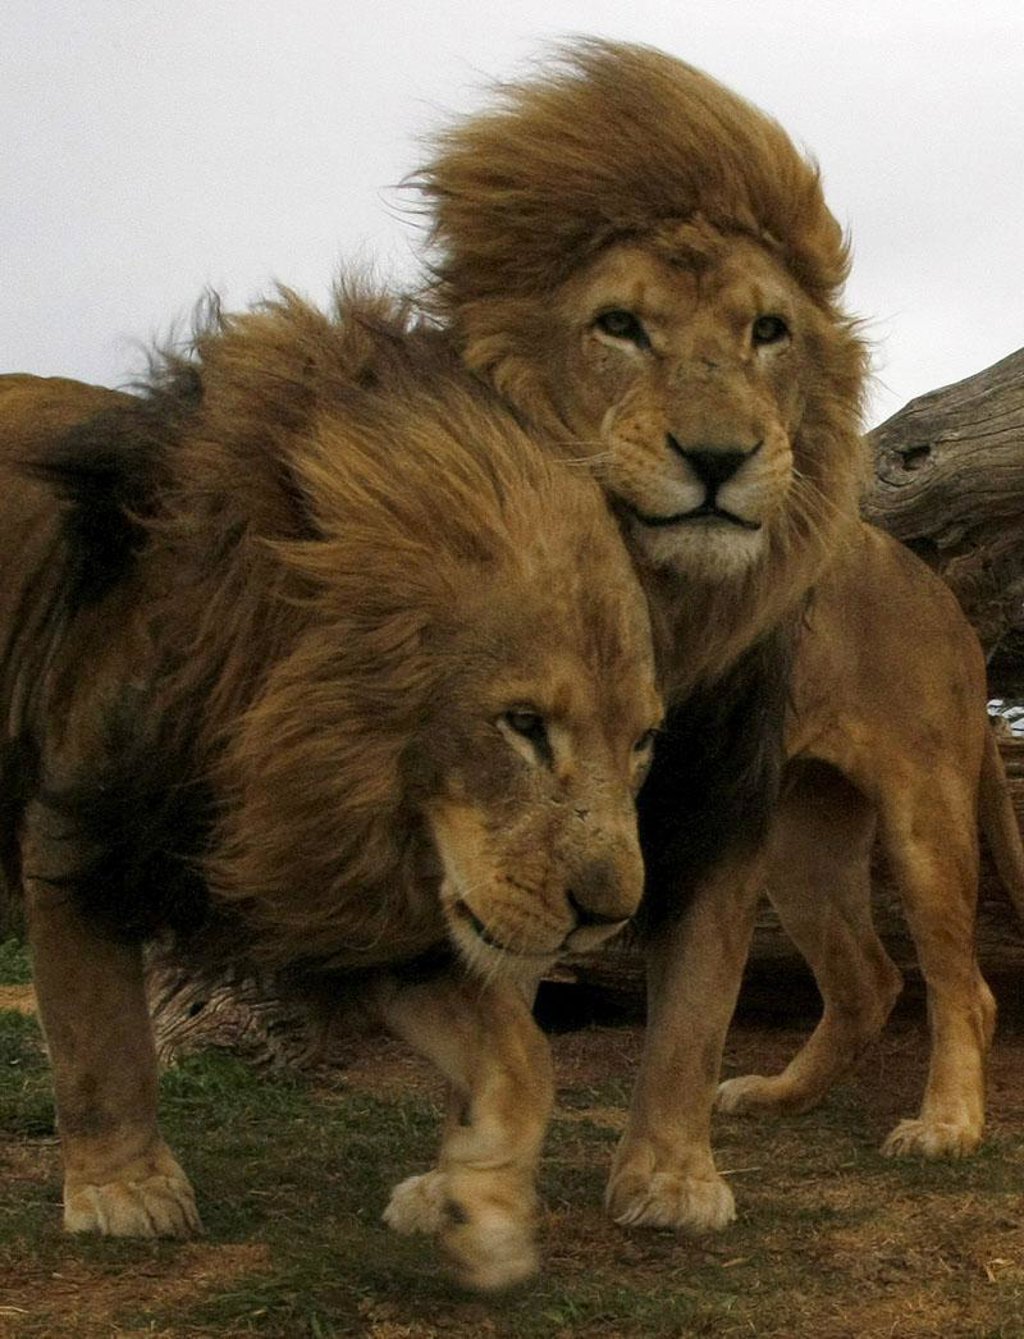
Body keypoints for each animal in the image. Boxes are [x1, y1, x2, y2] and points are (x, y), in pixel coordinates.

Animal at [0, 288, 663, 1290]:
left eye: (644, 742)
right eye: (522, 723)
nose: (606, 915)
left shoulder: (347, 903)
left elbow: (524, 1055)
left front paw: (478, 1207)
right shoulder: (83, 832)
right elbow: (98, 1034)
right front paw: (125, 1190)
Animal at [414, 38, 1024, 1233]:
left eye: (767, 331)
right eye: (619, 326)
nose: (717, 457)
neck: (651, 599)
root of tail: (932, 584)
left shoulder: (720, 808)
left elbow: (693, 1009)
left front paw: (668, 1180)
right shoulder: (513, 810)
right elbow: (494, 1013)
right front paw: (461, 1185)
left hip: (921, 816)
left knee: (955, 982)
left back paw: (945, 1125)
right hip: (808, 833)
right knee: (868, 979)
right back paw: (781, 1094)